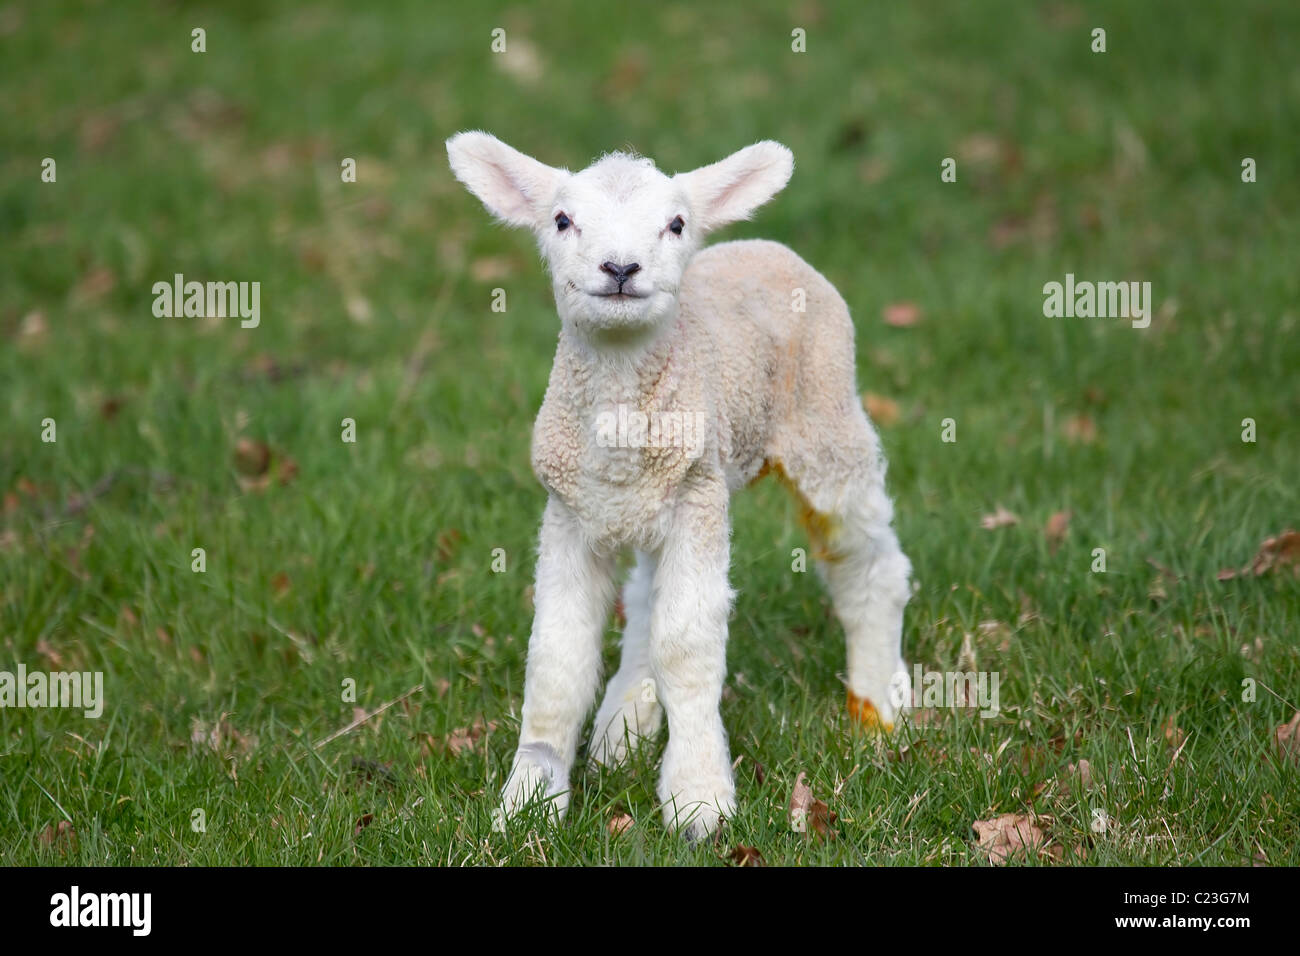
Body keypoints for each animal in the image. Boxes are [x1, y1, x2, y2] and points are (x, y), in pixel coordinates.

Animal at [446, 132, 912, 840]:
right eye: (562, 220)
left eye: (676, 224)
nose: (620, 268)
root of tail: (764, 246)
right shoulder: (570, 511)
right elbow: (557, 657)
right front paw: (529, 797)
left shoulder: (698, 497)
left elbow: (687, 646)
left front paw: (699, 799)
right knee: (644, 597)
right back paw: (623, 726)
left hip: (825, 424)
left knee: (870, 560)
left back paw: (879, 699)